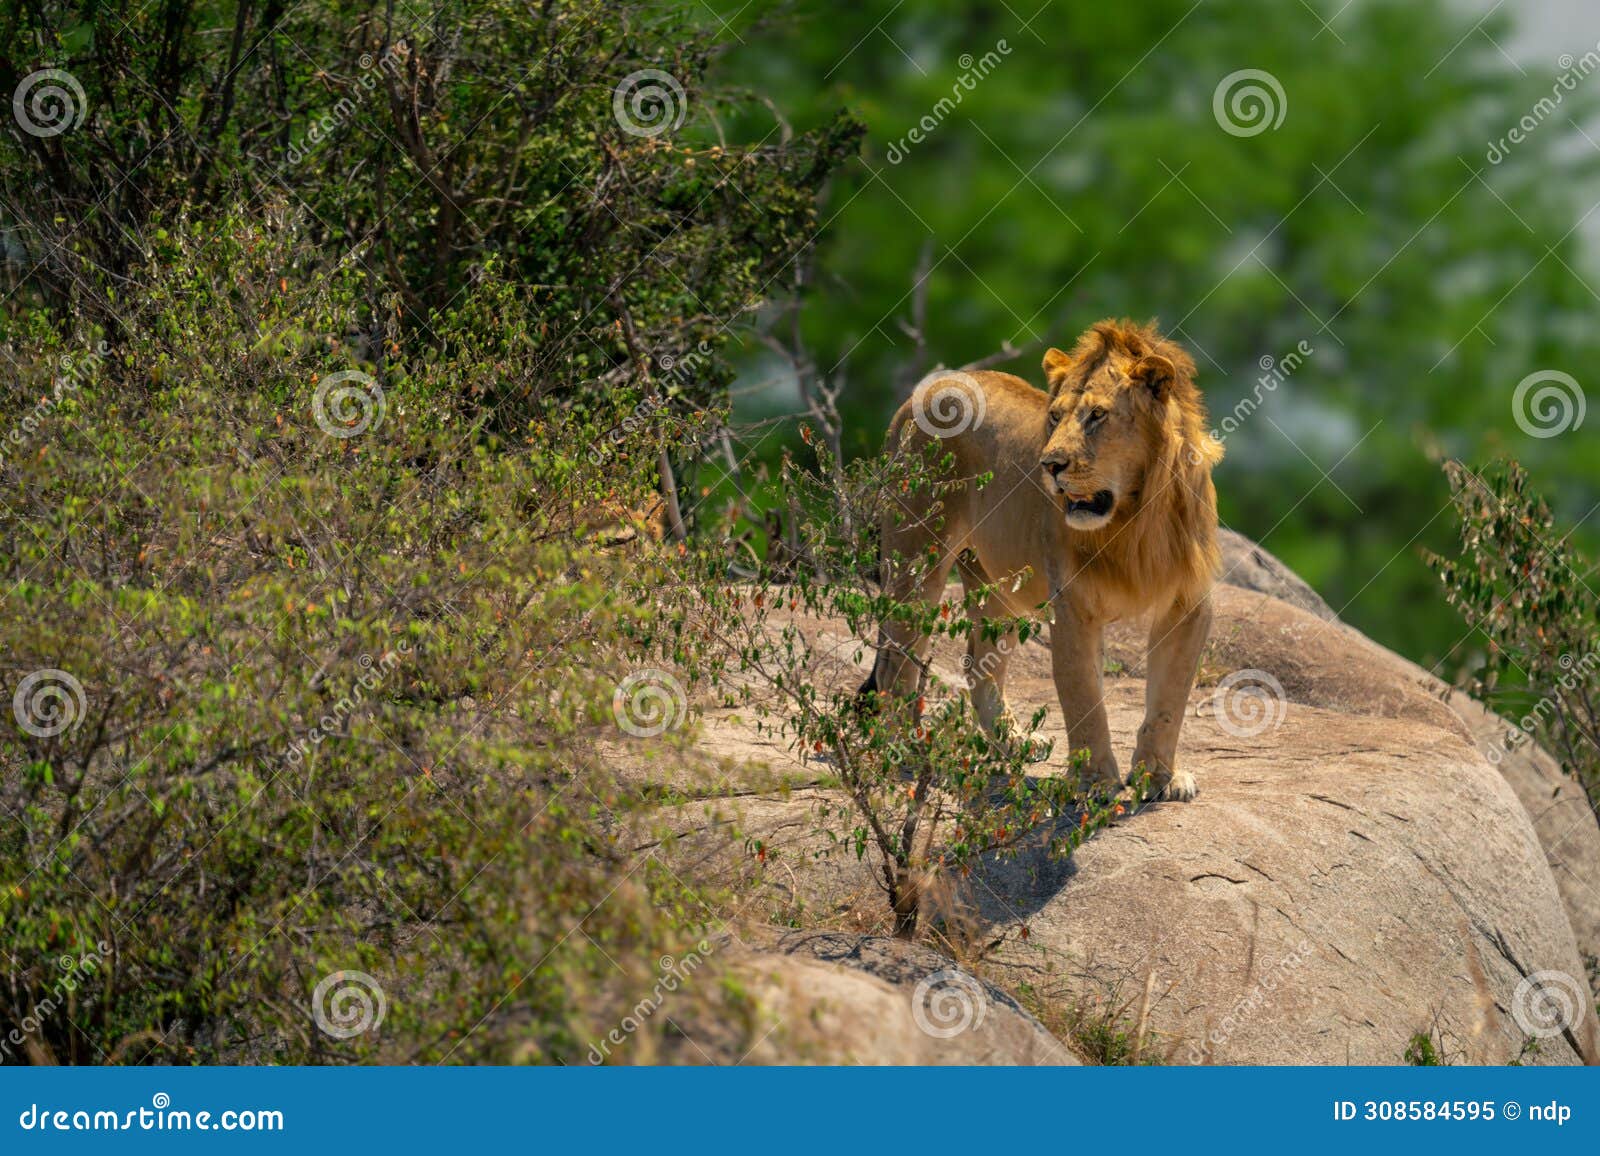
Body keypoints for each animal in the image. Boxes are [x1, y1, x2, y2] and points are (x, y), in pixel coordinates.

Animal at [858, 318, 1224, 801]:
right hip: (917, 558)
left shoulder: (1188, 602)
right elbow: (1083, 695)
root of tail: (921, 392)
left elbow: (1170, 699)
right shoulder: (1072, 605)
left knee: (978, 662)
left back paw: (1013, 741)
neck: (1137, 518)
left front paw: (1160, 777)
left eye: (1097, 415)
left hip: (997, 586)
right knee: (894, 665)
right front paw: (1094, 783)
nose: (1049, 464)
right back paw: (901, 749)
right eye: (1055, 416)